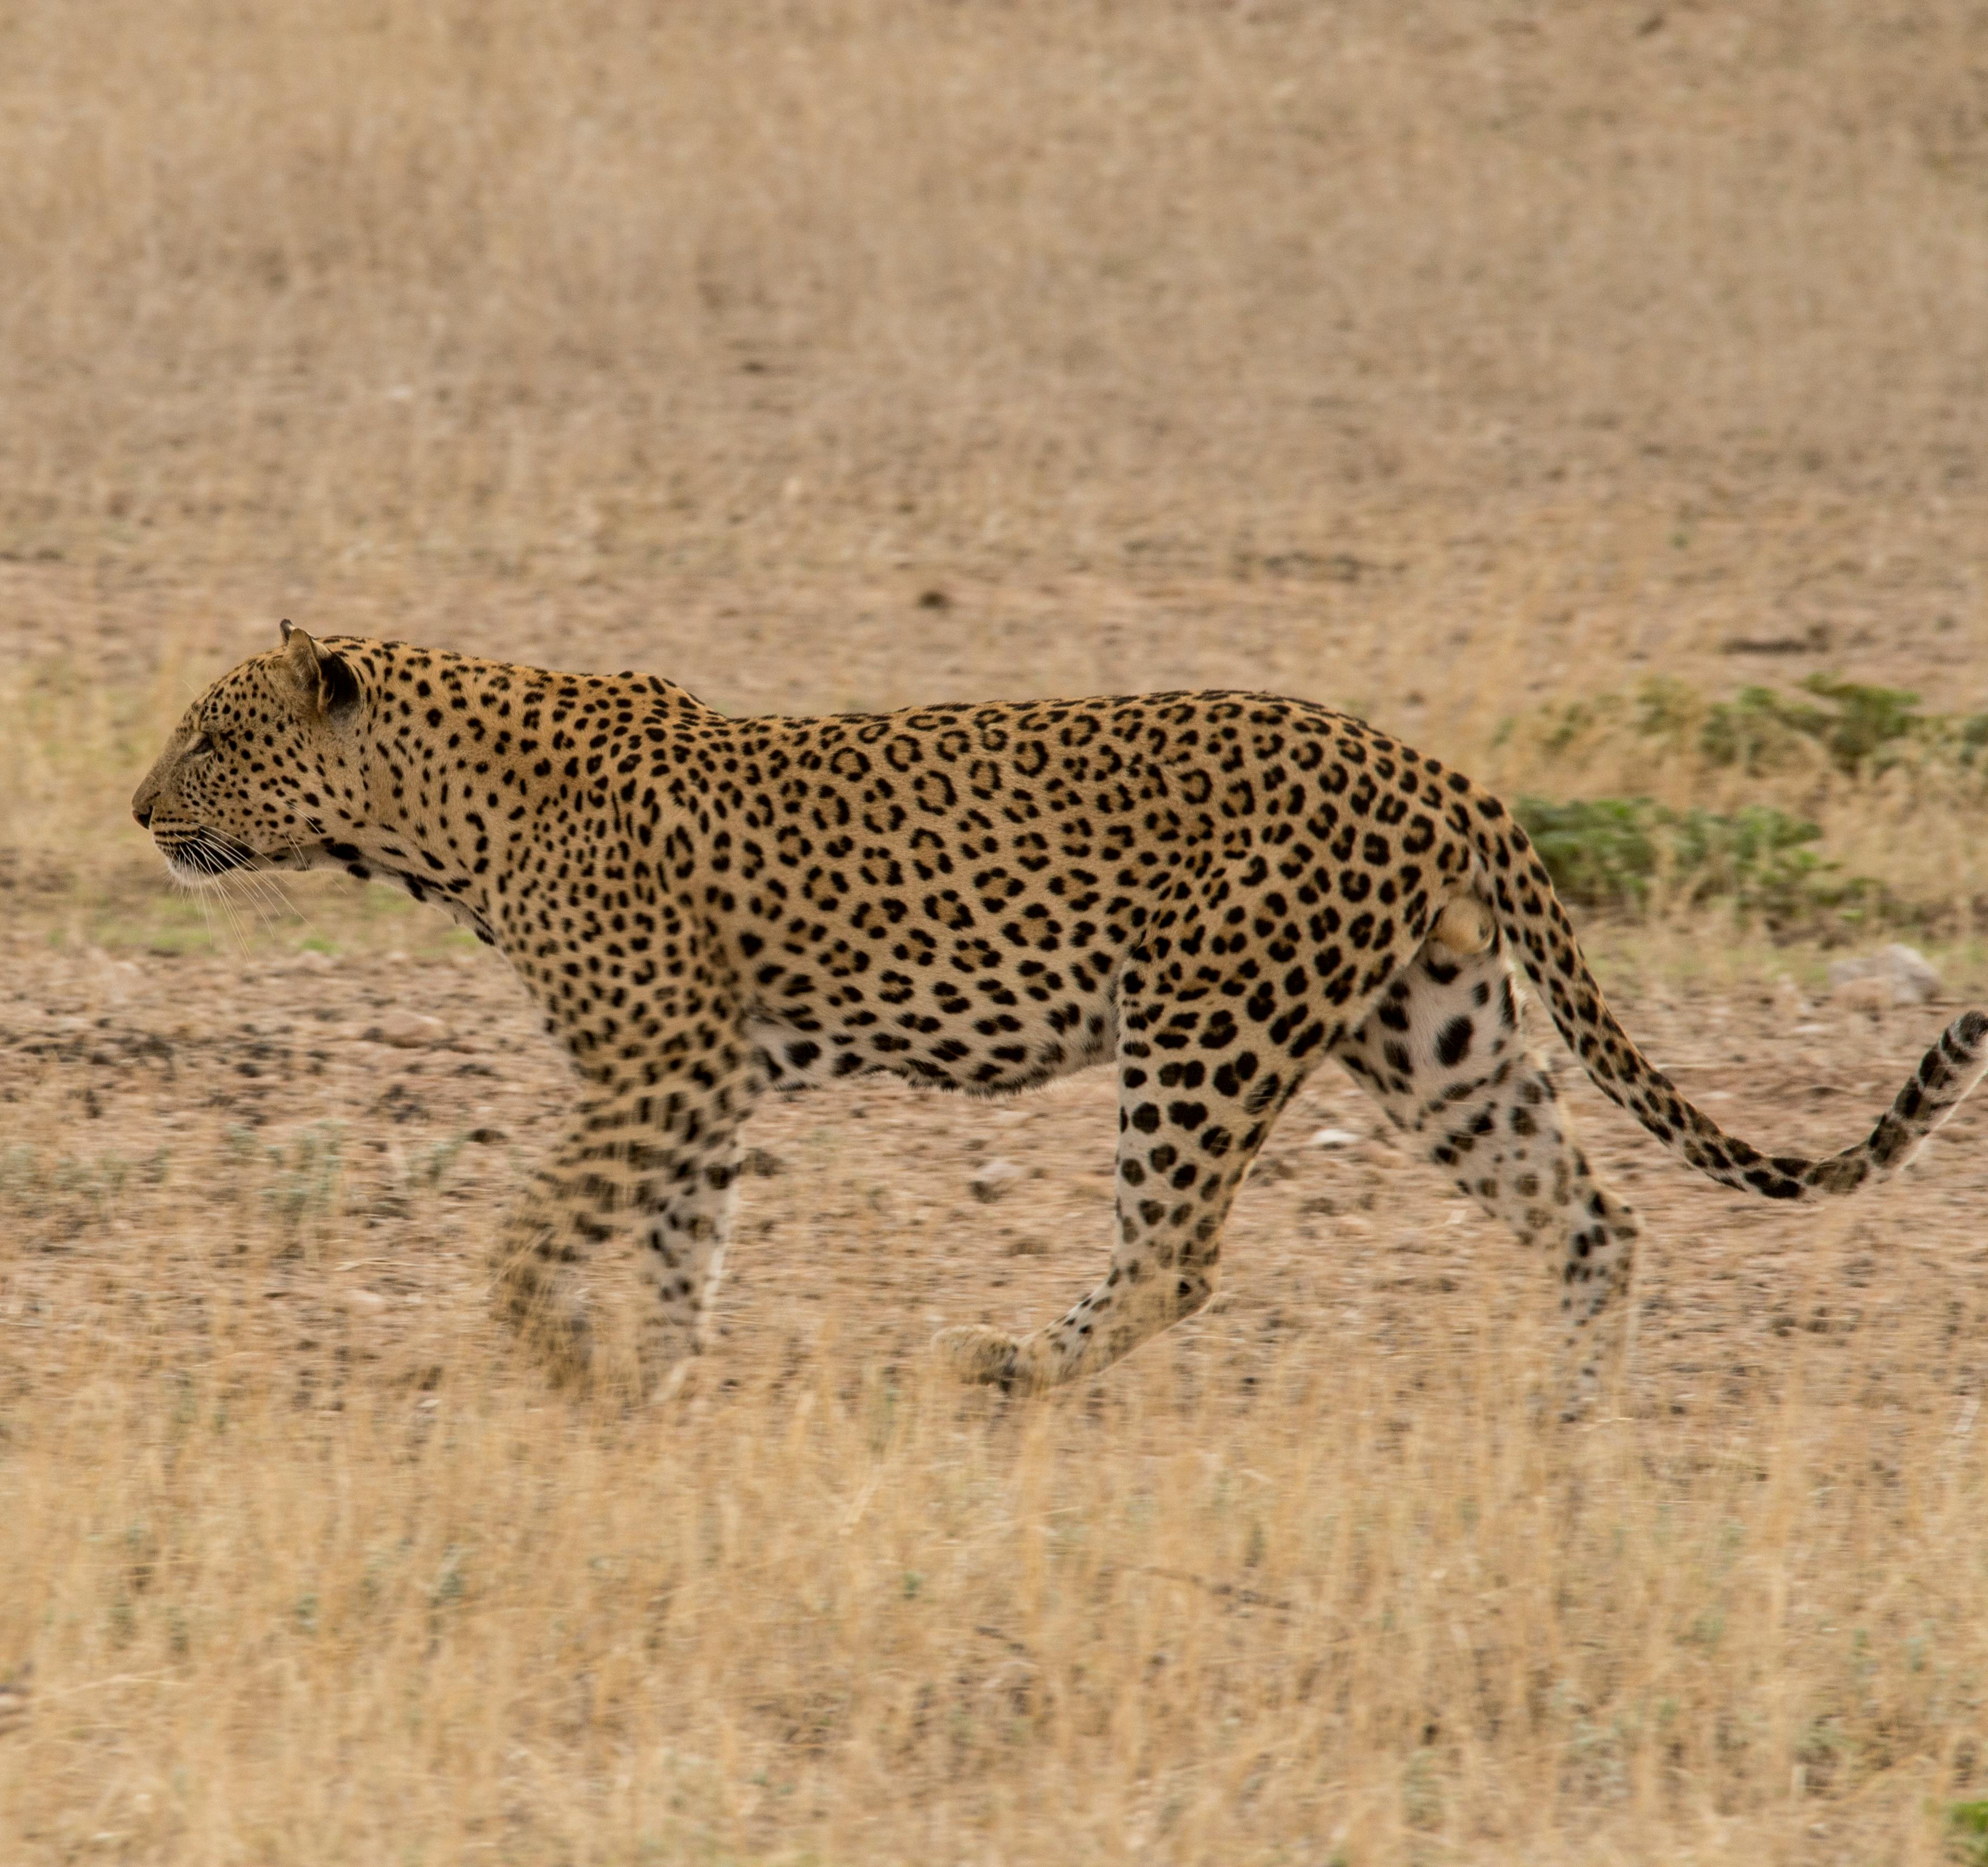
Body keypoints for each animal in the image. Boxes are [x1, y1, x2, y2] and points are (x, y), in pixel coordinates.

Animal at [132, 623, 1988, 1412]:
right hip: (1436, 1034)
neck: (434, 820)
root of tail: (1433, 768)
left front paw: (565, 1357)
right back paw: (1566, 1415)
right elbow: (674, 1246)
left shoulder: (660, 1063)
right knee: (1592, 1215)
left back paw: (1011, 1368)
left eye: (213, 740)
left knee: (1175, 1252)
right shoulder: (701, 1086)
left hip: (1206, 1024)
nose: (140, 809)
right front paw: (656, 1381)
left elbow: (533, 1234)